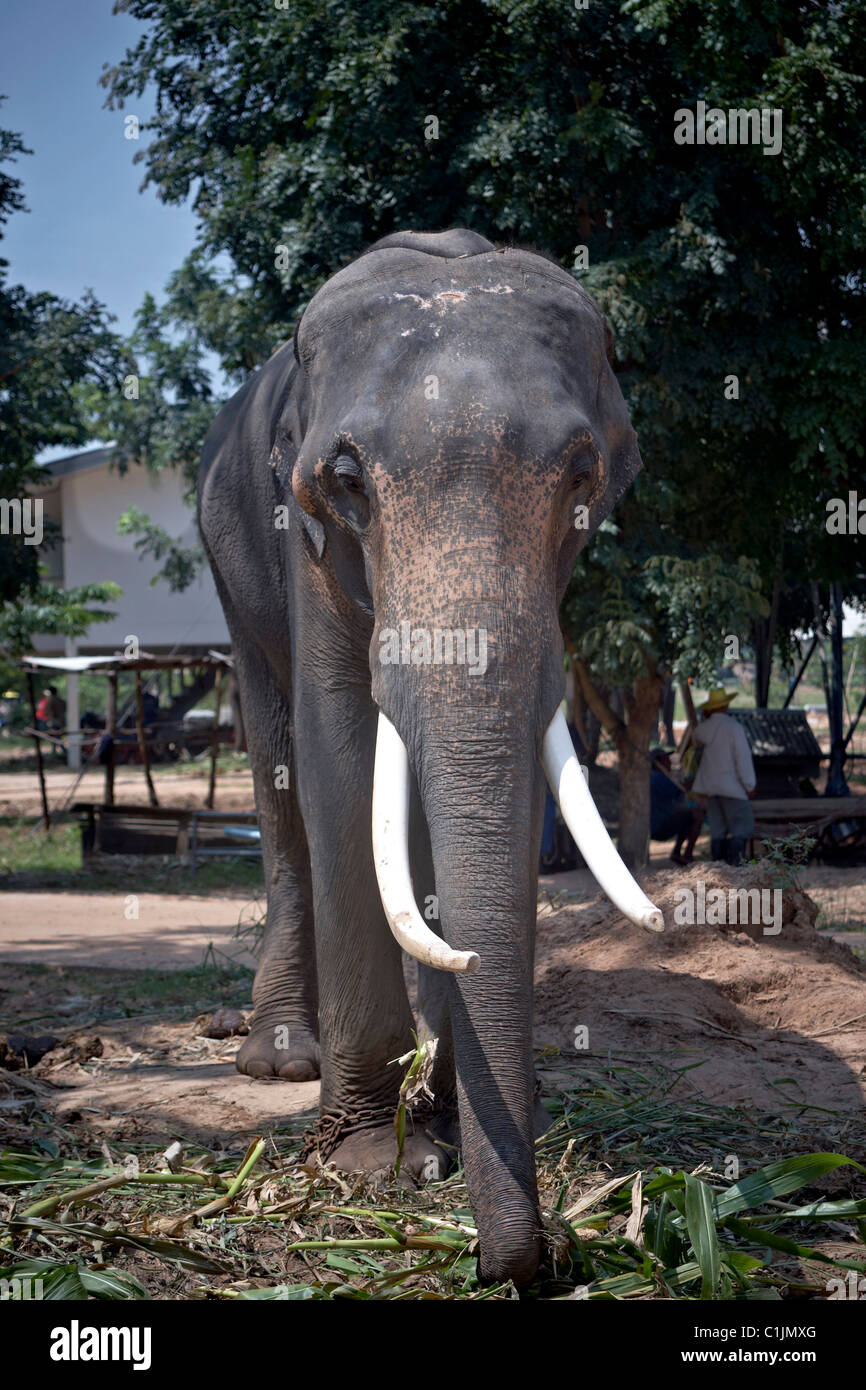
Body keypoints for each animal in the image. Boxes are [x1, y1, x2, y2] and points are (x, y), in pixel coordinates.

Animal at [198, 227, 662, 1287]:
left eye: (582, 479)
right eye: (348, 482)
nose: (531, 1261)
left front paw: (442, 1139)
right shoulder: (305, 543)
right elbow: (336, 751)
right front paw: (378, 1165)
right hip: (230, 573)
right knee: (280, 767)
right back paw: (281, 1056)